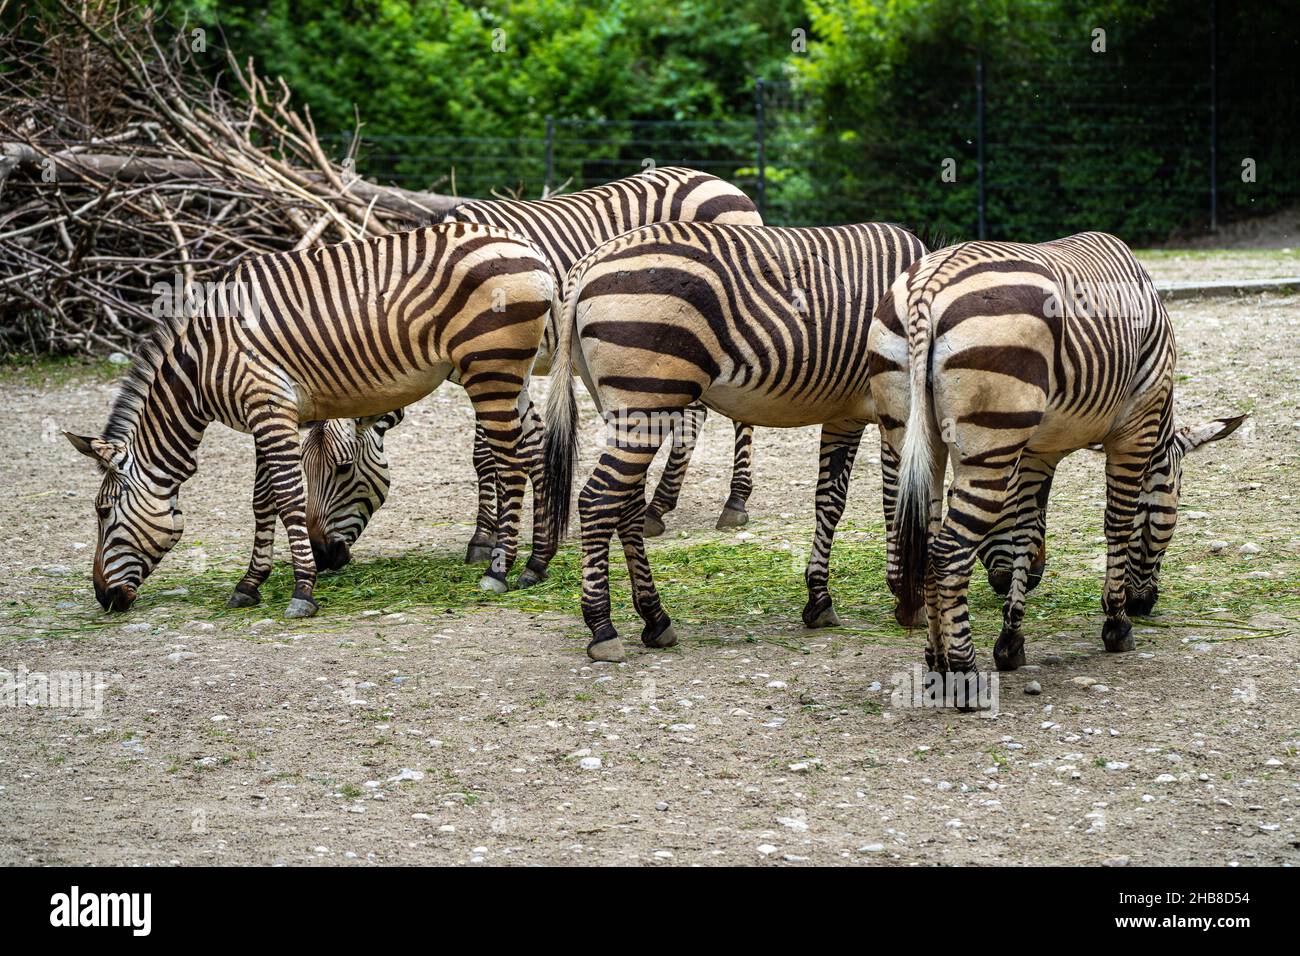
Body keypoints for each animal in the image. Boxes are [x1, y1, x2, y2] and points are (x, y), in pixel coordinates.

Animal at [64, 222, 554, 616]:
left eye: (103, 512)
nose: (103, 598)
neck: (201, 363)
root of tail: (530, 250)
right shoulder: (265, 415)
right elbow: (262, 500)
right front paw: (249, 584)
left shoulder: (267, 406)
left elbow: (286, 497)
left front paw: (302, 592)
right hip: (512, 372)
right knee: (536, 447)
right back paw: (536, 564)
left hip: (490, 368)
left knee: (510, 462)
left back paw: (499, 570)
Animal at [299, 167, 763, 586]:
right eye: (304, 469)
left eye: (343, 469)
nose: (322, 557)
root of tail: (714, 178)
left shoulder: (497, 365)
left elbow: (487, 455)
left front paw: (485, 539)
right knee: (694, 413)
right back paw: (657, 508)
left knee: (739, 415)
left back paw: (734, 502)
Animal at [542, 220, 928, 662]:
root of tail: (589, 261)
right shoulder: (899, 409)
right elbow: (902, 500)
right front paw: (908, 597)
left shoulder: (844, 416)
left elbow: (830, 502)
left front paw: (819, 599)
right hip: (648, 401)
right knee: (597, 500)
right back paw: (603, 629)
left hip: (622, 407)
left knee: (626, 507)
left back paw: (656, 620)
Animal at [871, 232, 1245, 674]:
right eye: (1174, 505)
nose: (1145, 606)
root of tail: (930, 286)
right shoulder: (1135, 431)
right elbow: (1118, 523)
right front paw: (1116, 623)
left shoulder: (1039, 454)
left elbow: (1026, 534)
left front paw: (1011, 641)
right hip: (989, 447)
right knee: (947, 554)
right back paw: (963, 670)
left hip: (911, 435)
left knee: (926, 546)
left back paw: (936, 660)